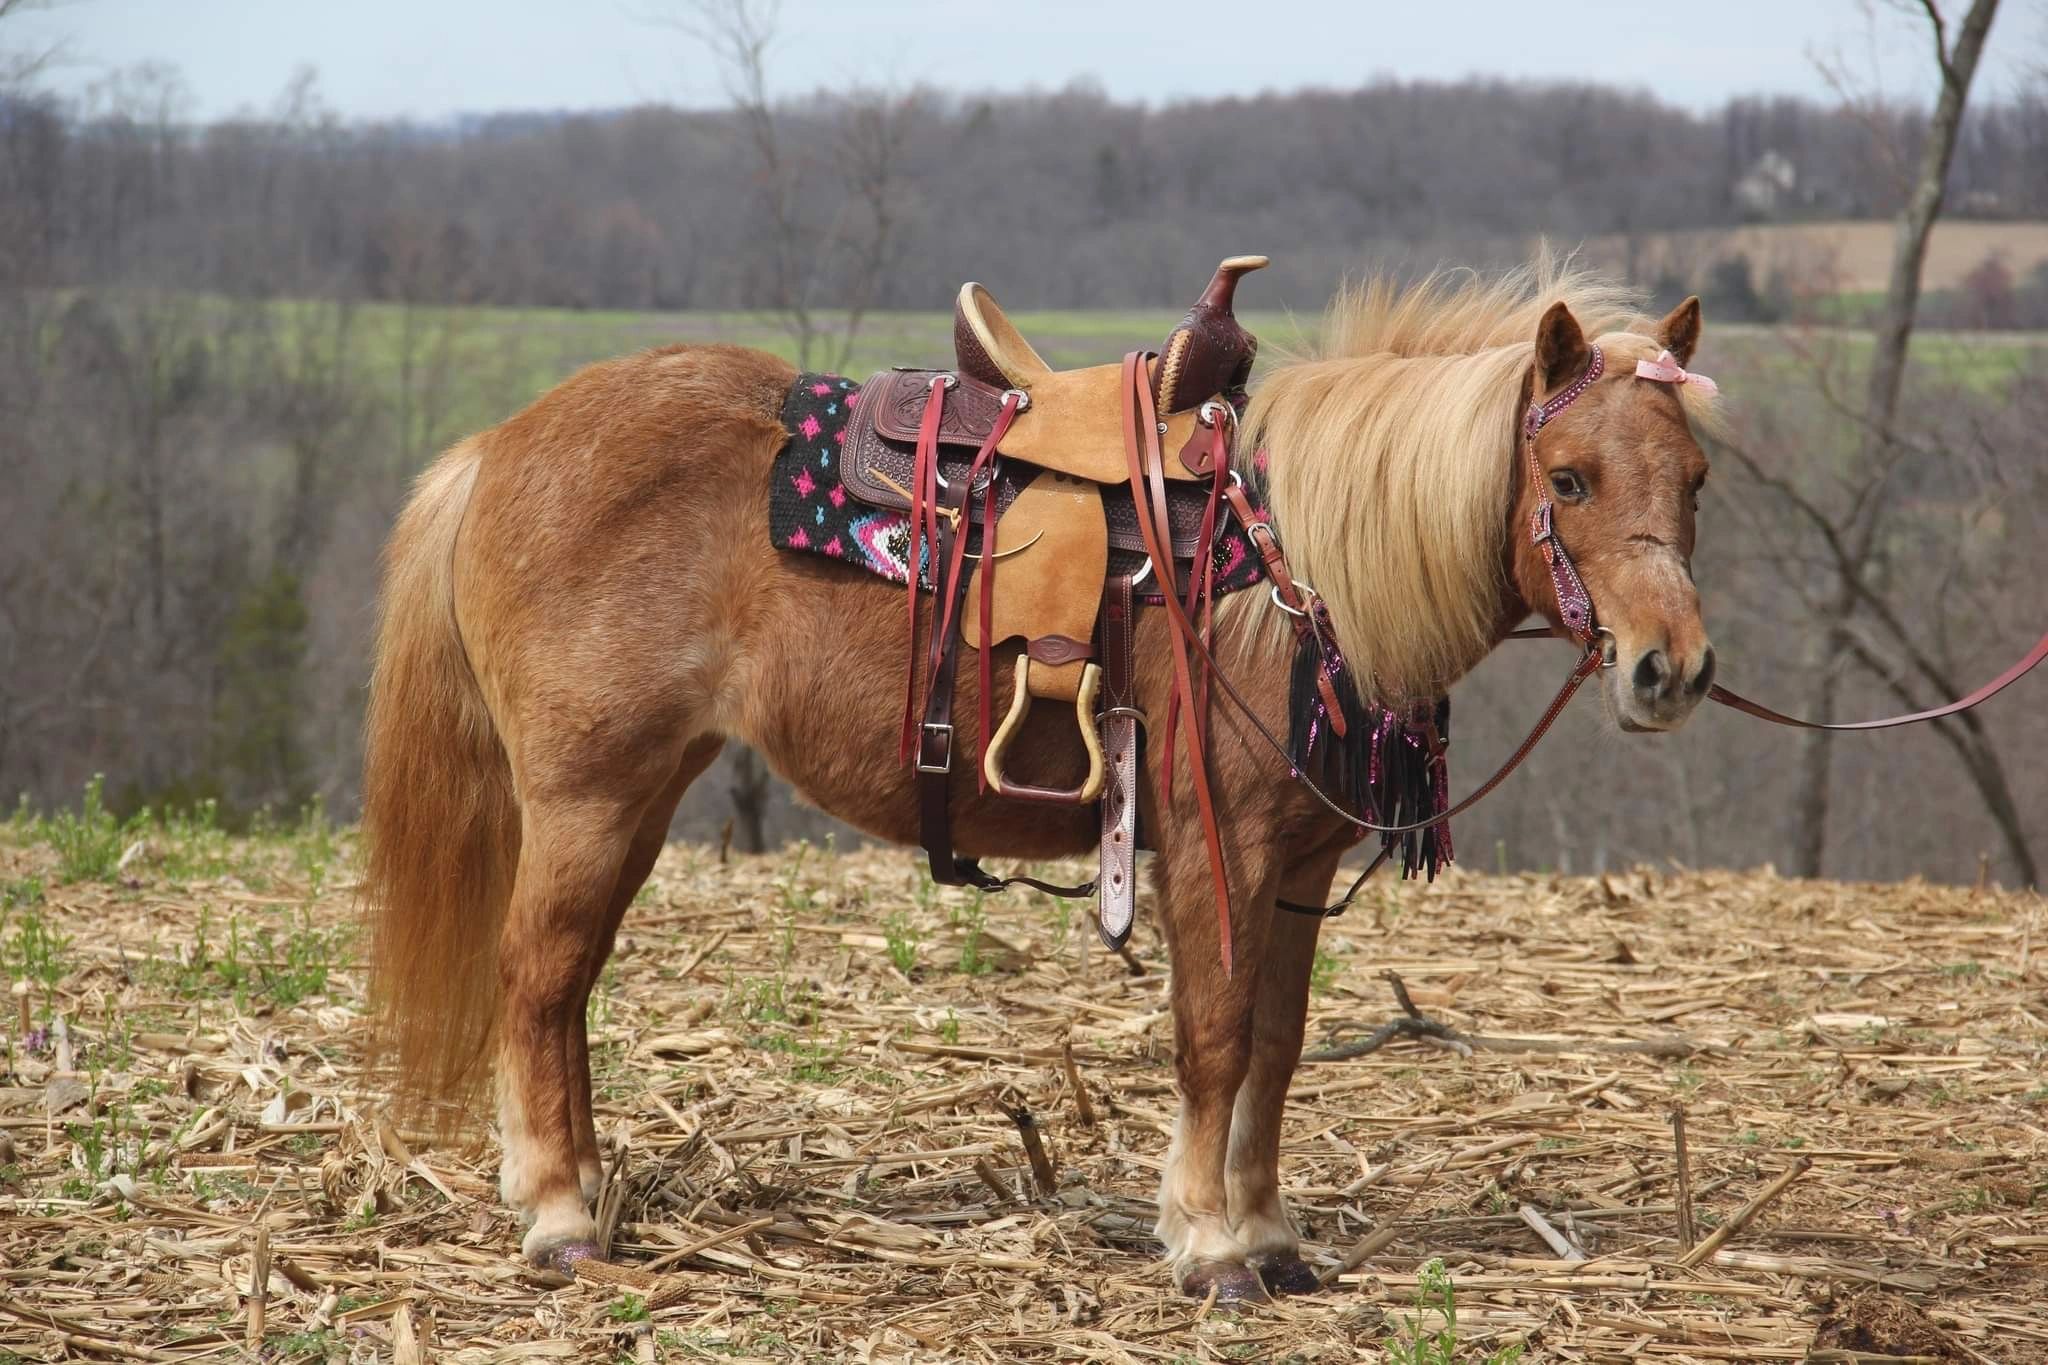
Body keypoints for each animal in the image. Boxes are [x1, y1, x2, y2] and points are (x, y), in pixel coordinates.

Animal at [360, 257, 1722, 1302]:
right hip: (586, 798)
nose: (1672, 671)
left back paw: (587, 1192)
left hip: (634, 800)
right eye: (1567, 480)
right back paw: (556, 1216)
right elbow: (1214, 1039)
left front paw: (1270, 1235)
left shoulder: (1295, 865)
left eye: (1695, 480)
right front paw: (1209, 1246)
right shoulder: (1214, 846)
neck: (1292, 563)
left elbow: (1277, 1046)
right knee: (537, 979)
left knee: (565, 989)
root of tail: (496, 448)